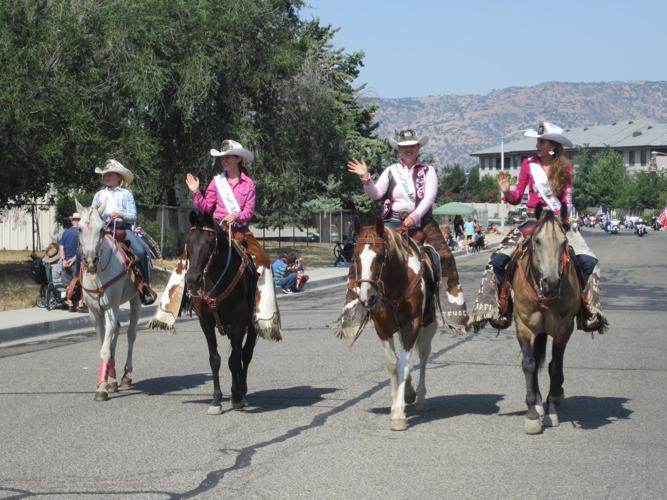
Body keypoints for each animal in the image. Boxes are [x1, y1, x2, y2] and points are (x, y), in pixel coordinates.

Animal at [76, 200, 142, 401]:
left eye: (101, 229)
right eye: (79, 228)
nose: (90, 261)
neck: (98, 274)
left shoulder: (110, 307)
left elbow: (105, 349)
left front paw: (101, 389)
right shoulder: (94, 313)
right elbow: (103, 343)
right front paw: (106, 382)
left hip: (136, 299)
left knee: (130, 334)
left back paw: (126, 375)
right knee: (116, 331)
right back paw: (113, 379)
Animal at [184, 210, 258, 414]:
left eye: (210, 244)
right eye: (188, 242)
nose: (192, 279)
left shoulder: (239, 322)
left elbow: (234, 360)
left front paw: (236, 396)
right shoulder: (206, 324)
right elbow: (215, 359)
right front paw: (216, 400)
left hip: (251, 326)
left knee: (245, 354)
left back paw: (242, 391)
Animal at [341, 217, 438, 431]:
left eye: (380, 257)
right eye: (355, 258)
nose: (367, 297)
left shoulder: (412, 326)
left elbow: (403, 364)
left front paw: (399, 414)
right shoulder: (382, 328)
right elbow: (393, 364)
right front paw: (397, 402)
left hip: (427, 327)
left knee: (423, 356)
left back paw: (421, 399)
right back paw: (409, 393)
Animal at [510, 209, 581, 434]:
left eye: (564, 241)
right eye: (537, 240)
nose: (551, 282)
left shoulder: (563, 330)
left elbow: (554, 367)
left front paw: (550, 410)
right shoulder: (524, 326)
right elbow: (529, 364)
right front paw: (532, 412)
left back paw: (555, 396)